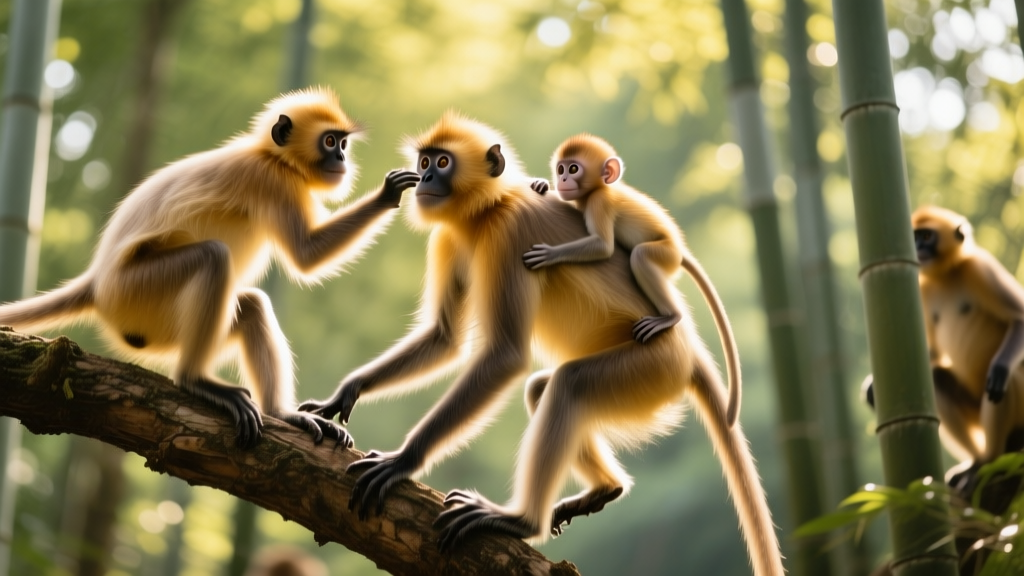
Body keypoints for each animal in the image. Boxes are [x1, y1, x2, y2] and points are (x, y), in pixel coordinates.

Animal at [0, 87, 420, 449]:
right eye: (330, 142)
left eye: (343, 144)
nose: (342, 159)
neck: (272, 157)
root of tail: (97, 281)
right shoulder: (272, 181)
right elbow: (307, 255)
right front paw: (388, 194)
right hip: (135, 288)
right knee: (213, 258)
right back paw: (195, 381)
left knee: (250, 305)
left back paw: (280, 413)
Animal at [523, 134, 741, 426]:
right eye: (560, 169)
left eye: (573, 169)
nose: (563, 180)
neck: (598, 190)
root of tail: (679, 250)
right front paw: (541, 184)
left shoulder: (600, 204)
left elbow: (603, 247)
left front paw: (549, 254)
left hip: (664, 255)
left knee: (640, 256)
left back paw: (671, 316)